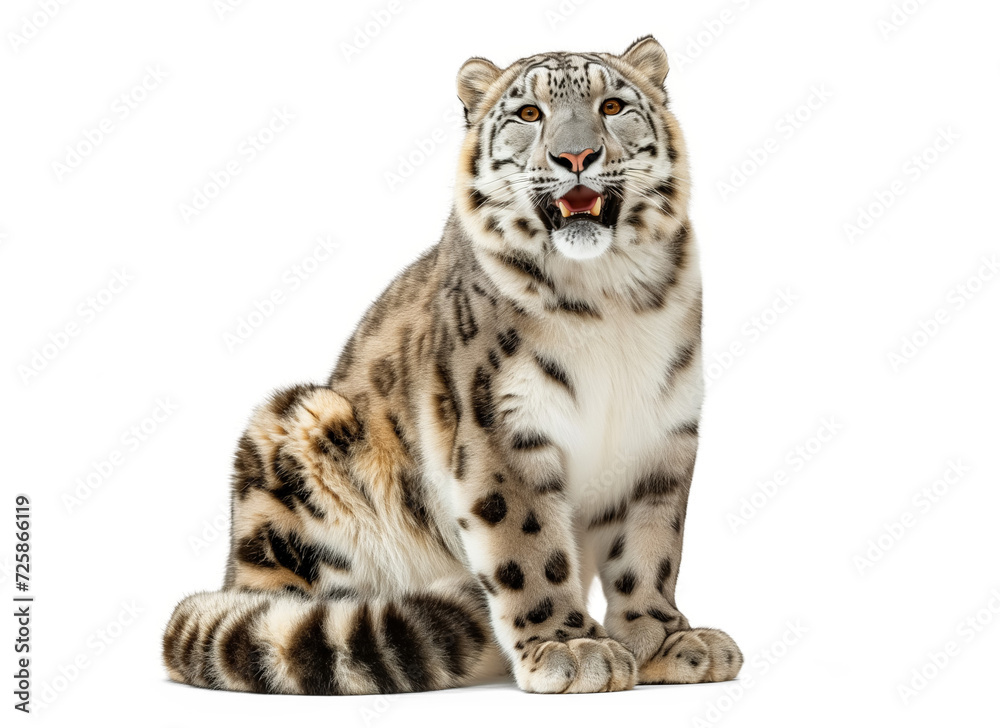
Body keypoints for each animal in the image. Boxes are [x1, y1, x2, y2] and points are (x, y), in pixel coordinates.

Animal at [162, 35, 743, 695]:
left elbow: (649, 549)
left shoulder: (662, 434)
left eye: (613, 105)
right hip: (295, 430)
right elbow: (530, 546)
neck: (607, 302)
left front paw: (665, 640)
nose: (575, 156)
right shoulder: (501, 425)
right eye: (529, 114)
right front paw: (570, 648)